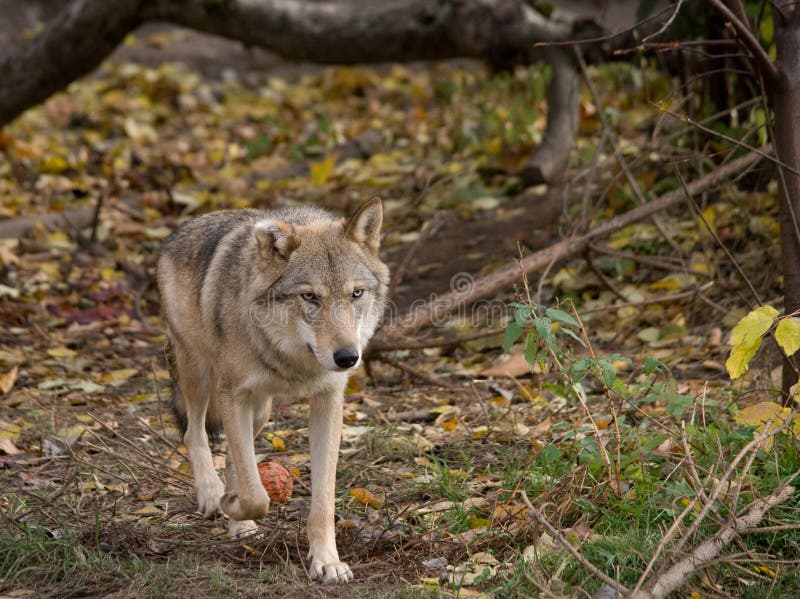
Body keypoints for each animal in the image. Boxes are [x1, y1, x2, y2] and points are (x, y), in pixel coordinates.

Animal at [157, 197, 389, 583]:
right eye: (309, 297)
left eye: (356, 293)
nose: (347, 357)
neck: (291, 359)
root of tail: (183, 228)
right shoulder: (232, 394)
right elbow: (256, 495)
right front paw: (231, 504)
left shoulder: (328, 400)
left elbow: (322, 500)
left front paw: (326, 561)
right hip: (199, 373)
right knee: (195, 432)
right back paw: (213, 496)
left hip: (260, 410)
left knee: (234, 455)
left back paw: (239, 523)